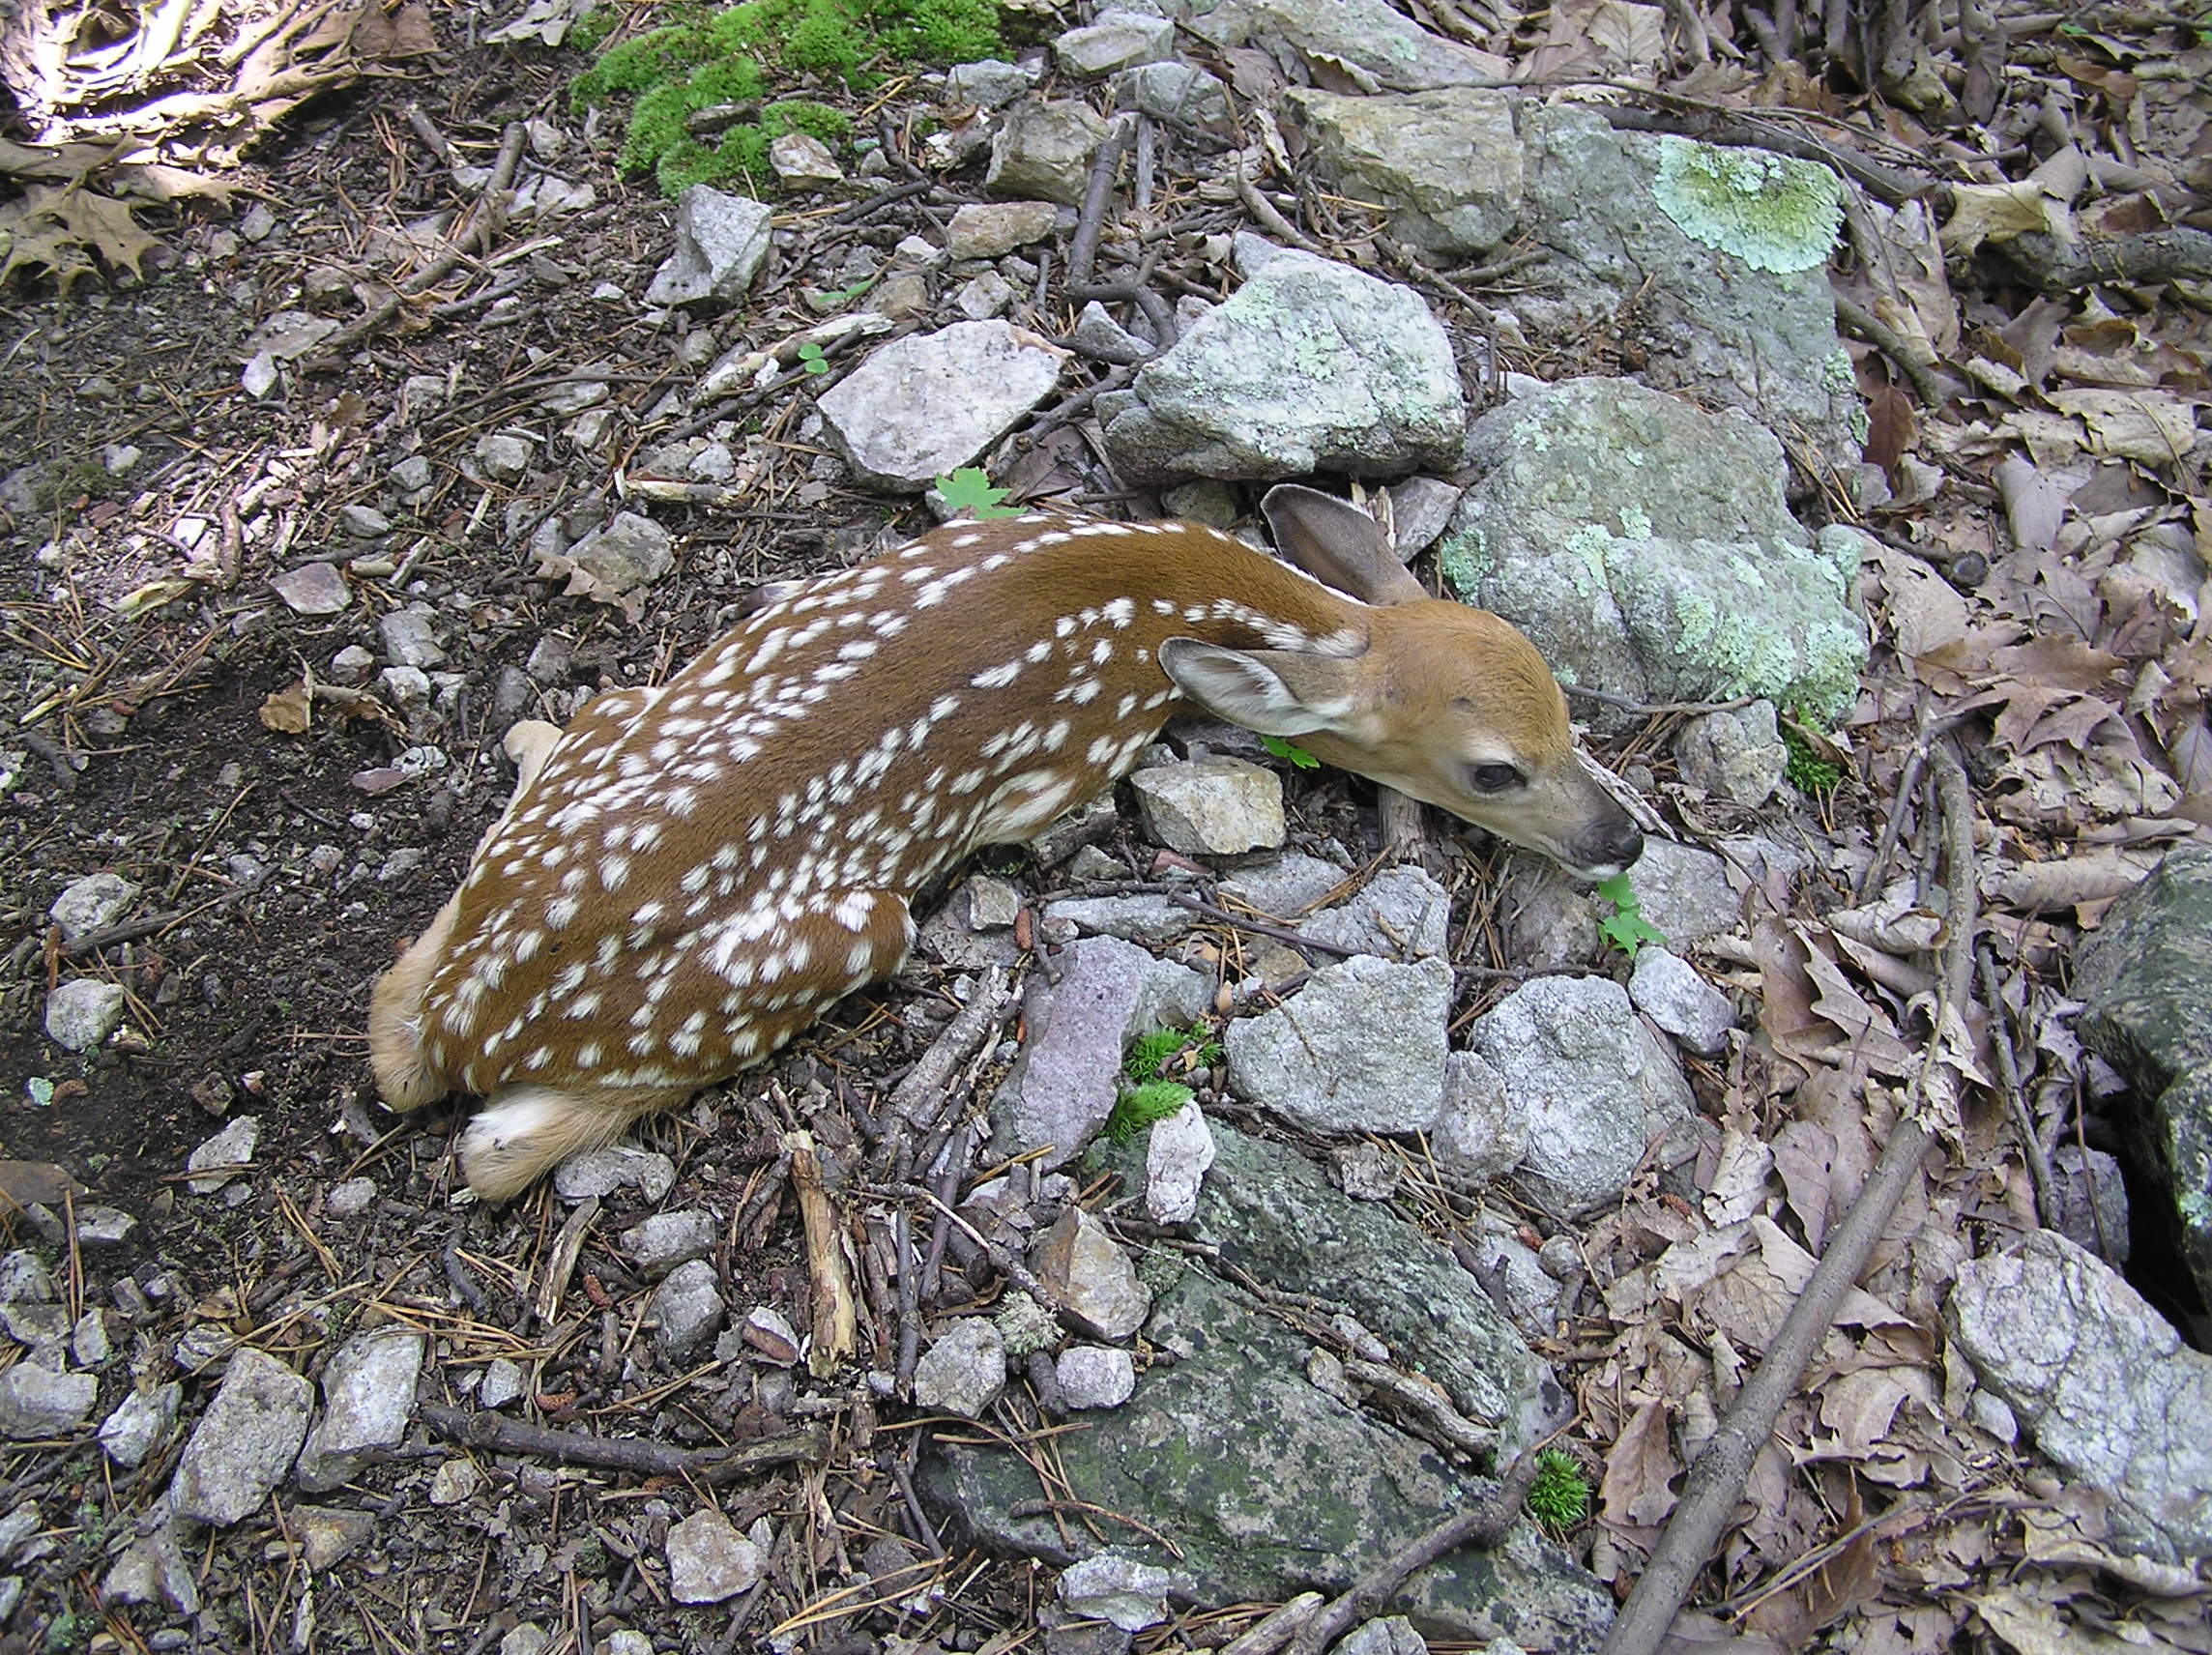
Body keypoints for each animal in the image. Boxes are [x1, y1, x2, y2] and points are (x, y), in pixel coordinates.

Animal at [369, 486, 1643, 1200]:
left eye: (1564, 709)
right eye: (1492, 769)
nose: (1622, 836)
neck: (1155, 587)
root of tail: (475, 1011)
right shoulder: (1068, 763)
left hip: (618, 716)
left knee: (398, 1018)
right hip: (834, 935)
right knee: (491, 1146)